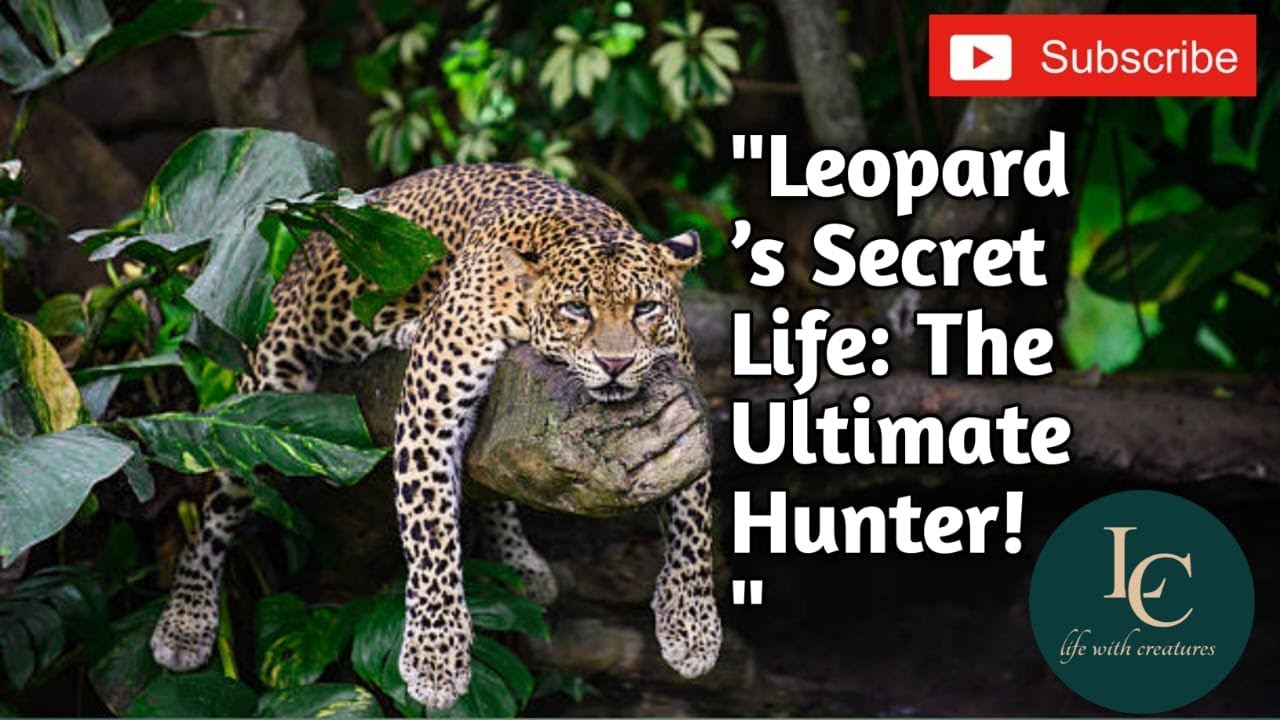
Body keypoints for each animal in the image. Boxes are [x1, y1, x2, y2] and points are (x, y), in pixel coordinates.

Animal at [149, 162, 722, 709]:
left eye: (645, 308)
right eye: (576, 310)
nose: (615, 364)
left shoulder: (687, 410)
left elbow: (692, 519)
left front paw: (692, 626)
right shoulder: (430, 411)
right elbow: (431, 536)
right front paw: (435, 659)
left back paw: (522, 563)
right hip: (267, 385)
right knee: (217, 504)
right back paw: (185, 621)